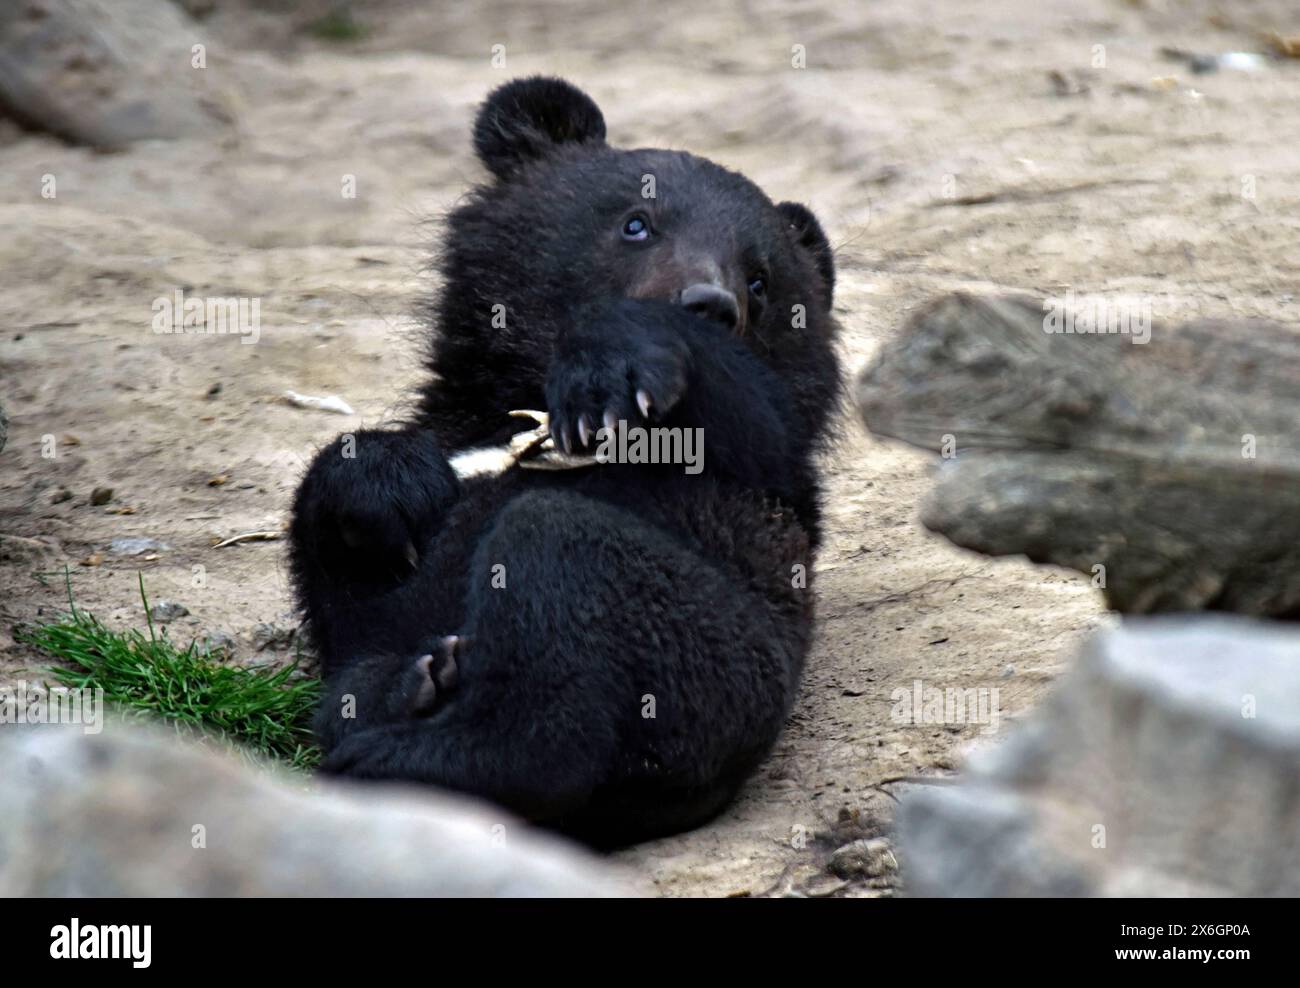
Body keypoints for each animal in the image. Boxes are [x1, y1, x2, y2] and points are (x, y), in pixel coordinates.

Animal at [288, 76, 841, 847]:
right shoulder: (458, 426)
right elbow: (347, 584)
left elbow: (762, 424)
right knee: (361, 682)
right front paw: (387, 488)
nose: (711, 303)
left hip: (721, 666)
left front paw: (611, 365)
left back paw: (415, 754)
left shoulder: (757, 484)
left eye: (760, 279)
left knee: (555, 560)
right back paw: (415, 687)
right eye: (637, 223)